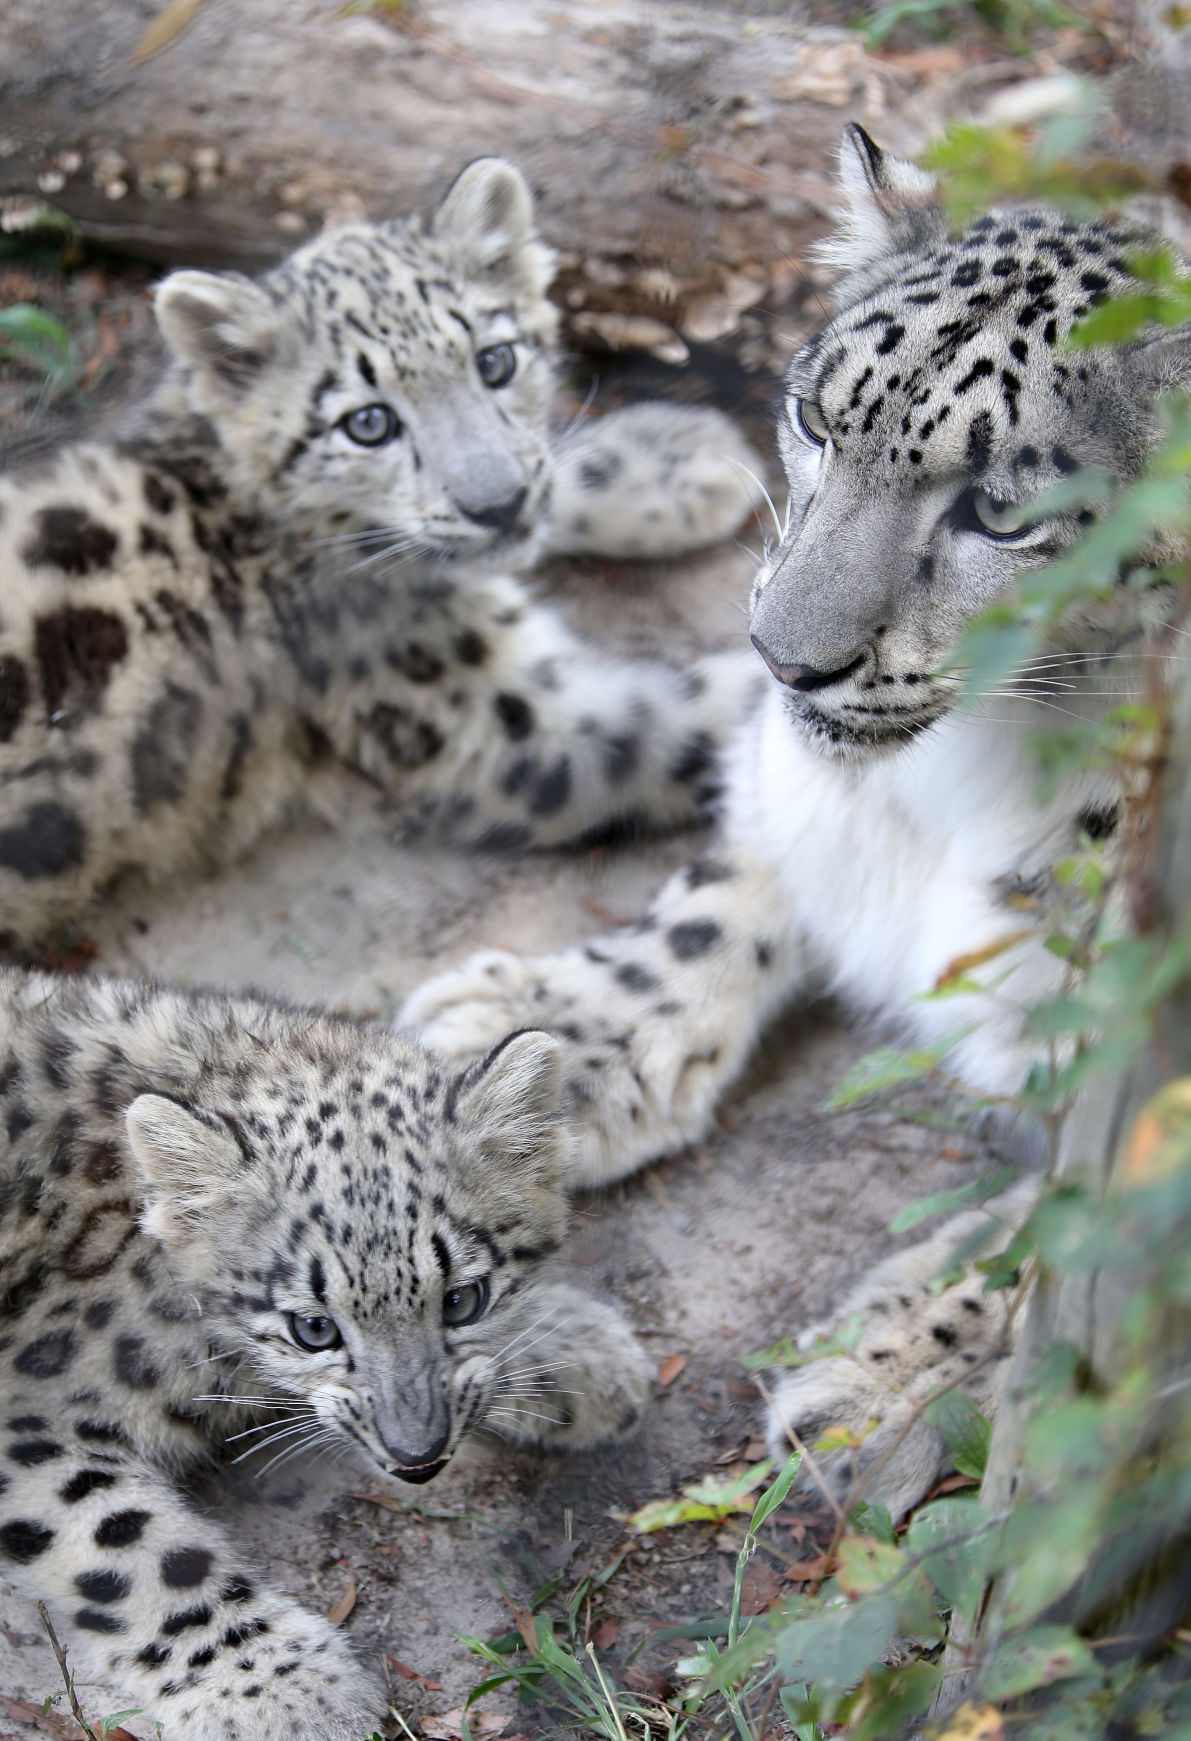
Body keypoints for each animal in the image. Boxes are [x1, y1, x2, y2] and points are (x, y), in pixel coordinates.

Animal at [0, 155, 764, 953]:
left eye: (495, 360)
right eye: (367, 423)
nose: (499, 505)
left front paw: (685, 454)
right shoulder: (504, 730)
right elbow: (692, 713)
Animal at [0, 966, 651, 1738]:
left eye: (464, 1298)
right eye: (314, 1328)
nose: (417, 1453)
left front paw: (579, 1351)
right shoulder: (28, 1416)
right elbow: (122, 1543)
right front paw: (285, 1690)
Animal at [402, 124, 1190, 1521]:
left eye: (1002, 510)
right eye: (820, 418)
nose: (785, 658)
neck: (963, 785)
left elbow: (1072, 1226)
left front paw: (884, 1368)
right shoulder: (795, 798)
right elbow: (718, 899)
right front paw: (534, 1051)